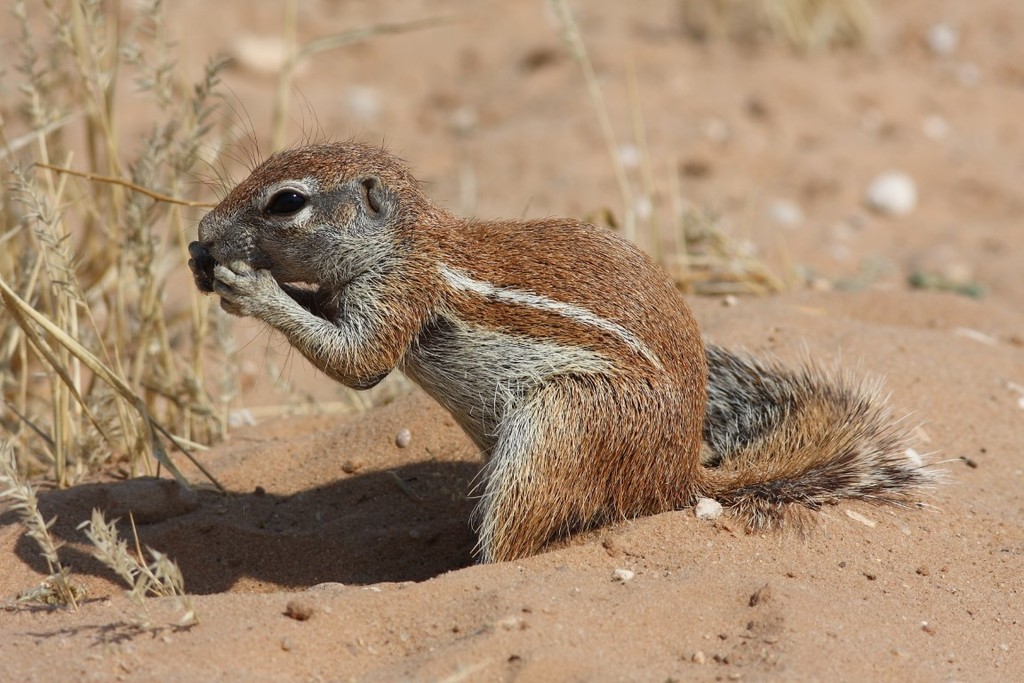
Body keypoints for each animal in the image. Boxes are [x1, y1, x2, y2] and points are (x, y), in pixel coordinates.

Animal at [188, 141, 935, 563]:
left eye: (286, 202)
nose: (203, 232)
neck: (411, 240)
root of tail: (675, 477)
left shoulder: (400, 292)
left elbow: (360, 362)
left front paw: (250, 286)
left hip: (565, 424)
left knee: (518, 532)